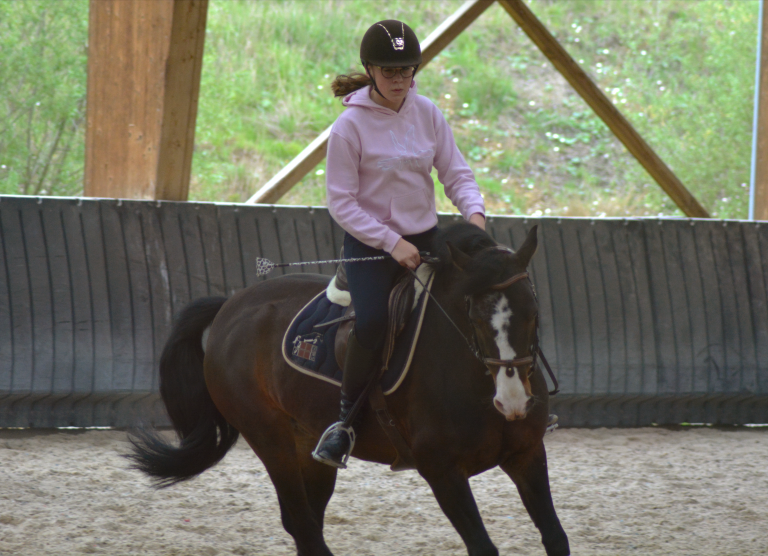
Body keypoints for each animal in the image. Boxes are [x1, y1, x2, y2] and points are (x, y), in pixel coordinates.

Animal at [128, 222, 570, 556]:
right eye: (474, 317)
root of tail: (229, 306)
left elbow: (555, 537)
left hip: (307, 447)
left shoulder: (527, 454)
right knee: (304, 526)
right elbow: (483, 547)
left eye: (533, 312)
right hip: (270, 440)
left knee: (305, 523)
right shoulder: (442, 470)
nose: (512, 402)